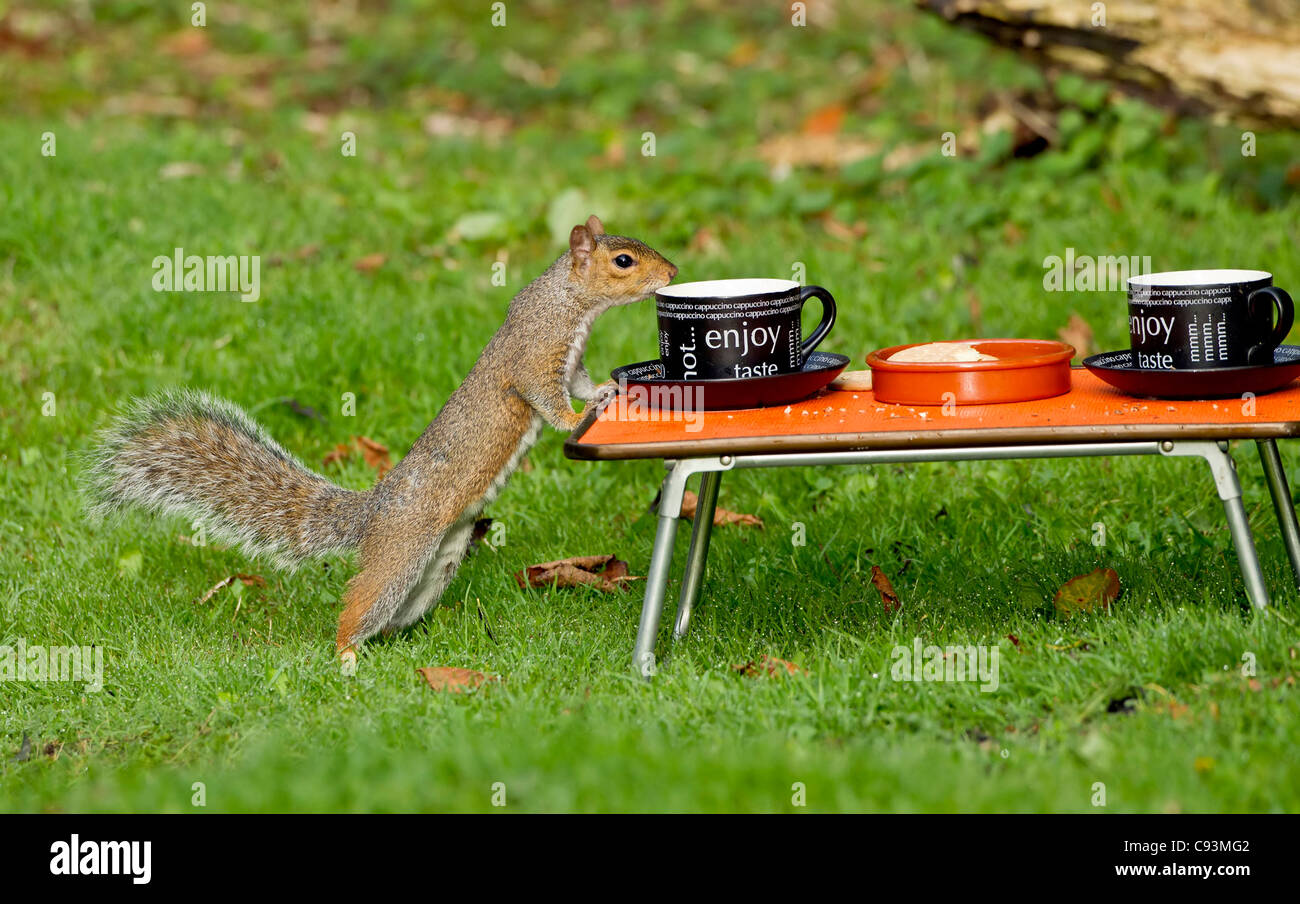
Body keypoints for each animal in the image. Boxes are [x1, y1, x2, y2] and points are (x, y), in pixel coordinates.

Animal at [85, 216, 677, 668]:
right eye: (624, 261)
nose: (673, 272)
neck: (570, 302)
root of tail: (374, 511)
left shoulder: (569, 362)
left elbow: (579, 381)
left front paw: (603, 391)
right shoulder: (534, 355)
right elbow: (547, 399)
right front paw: (580, 412)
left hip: (436, 565)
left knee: (396, 612)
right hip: (403, 551)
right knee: (359, 606)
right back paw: (348, 656)